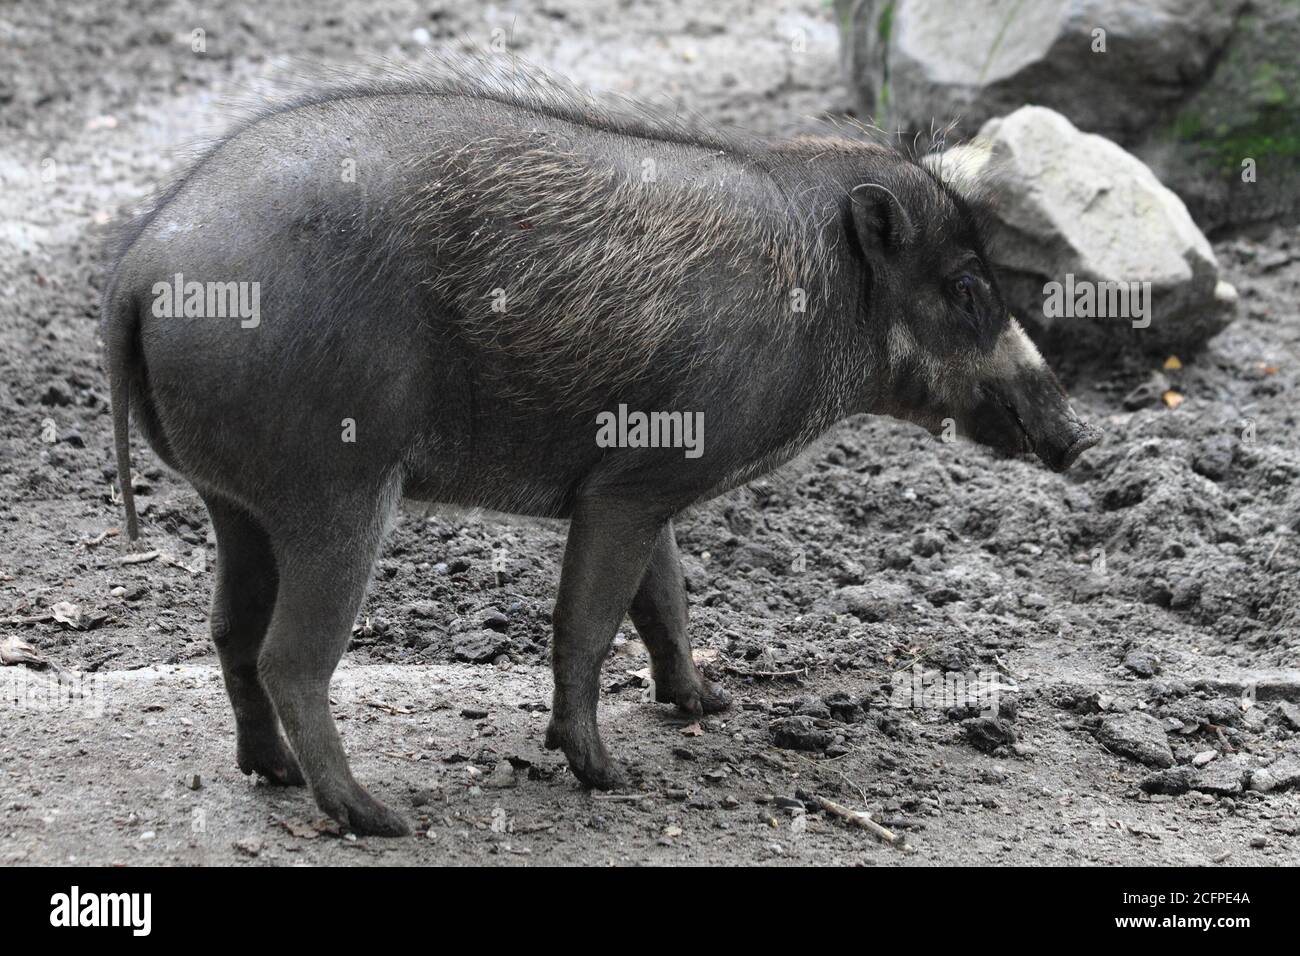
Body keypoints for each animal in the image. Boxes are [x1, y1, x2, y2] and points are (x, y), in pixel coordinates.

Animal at [103, 61, 1101, 836]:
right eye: (968, 286)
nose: (1079, 438)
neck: (819, 295)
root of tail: (139, 269)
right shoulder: (630, 486)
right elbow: (586, 624)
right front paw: (607, 775)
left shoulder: (645, 485)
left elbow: (665, 602)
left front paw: (708, 706)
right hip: (334, 492)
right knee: (290, 659)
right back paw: (377, 817)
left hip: (236, 503)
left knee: (230, 633)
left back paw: (271, 774)